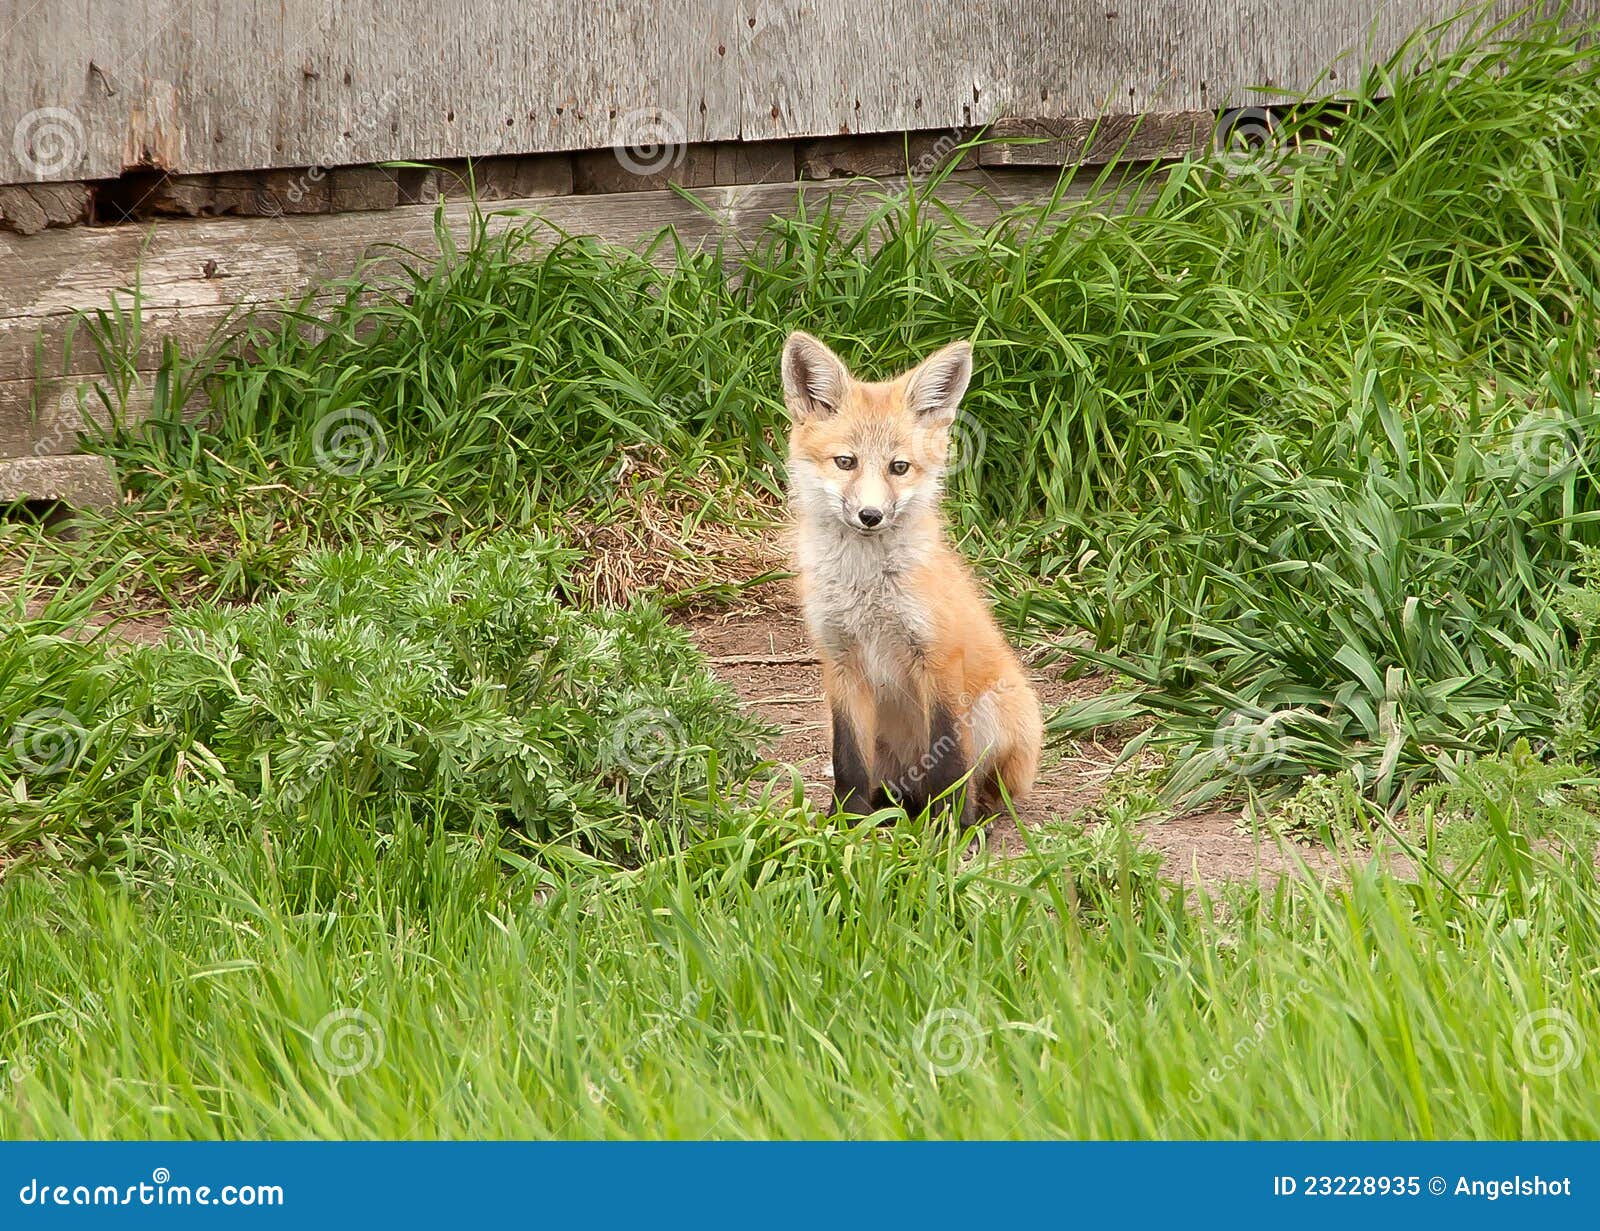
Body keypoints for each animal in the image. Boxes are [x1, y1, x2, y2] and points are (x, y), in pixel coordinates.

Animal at [782, 331, 1044, 826]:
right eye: (845, 462)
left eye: (898, 467)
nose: (870, 515)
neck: (866, 587)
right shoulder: (839, 661)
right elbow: (847, 759)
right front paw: (847, 821)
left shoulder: (937, 656)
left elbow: (948, 759)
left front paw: (952, 828)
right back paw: (888, 805)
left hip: (996, 715)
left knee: (984, 784)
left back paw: (970, 812)